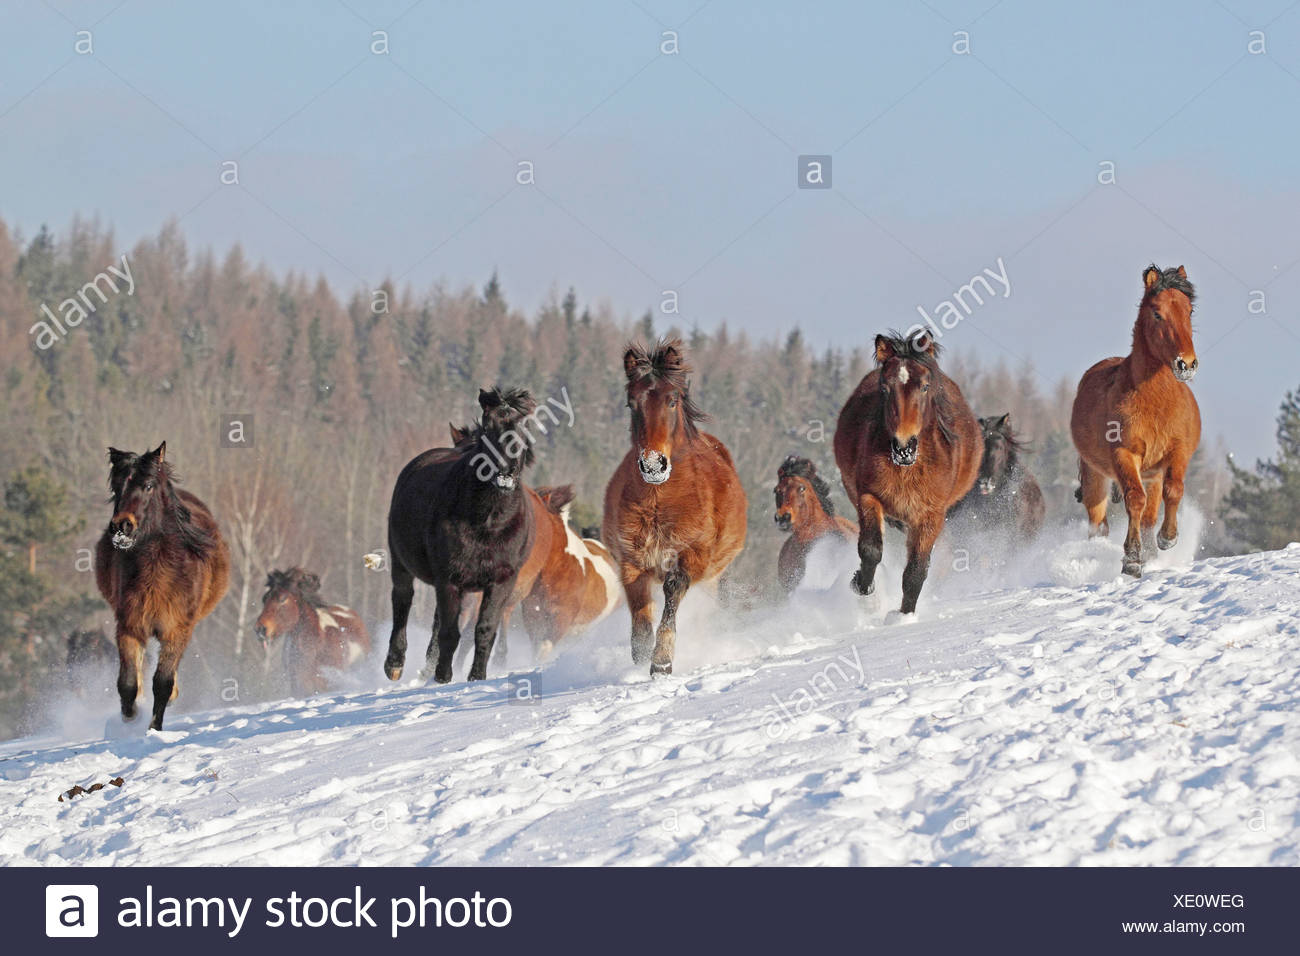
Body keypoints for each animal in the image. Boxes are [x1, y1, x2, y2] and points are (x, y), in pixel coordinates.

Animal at [94, 442, 229, 730]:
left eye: (148, 486)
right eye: (116, 486)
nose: (121, 527)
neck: (157, 568)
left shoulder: (177, 628)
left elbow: (163, 682)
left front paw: (154, 729)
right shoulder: (129, 625)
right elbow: (127, 683)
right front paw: (130, 715)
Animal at [384, 387, 539, 684]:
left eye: (525, 426)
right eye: (488, 425)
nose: (507, 467)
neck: (488, 523)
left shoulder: (500, 581)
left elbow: (484, 628)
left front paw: (476, 676)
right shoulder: (450, 579)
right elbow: (450, 632)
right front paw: (443, 677)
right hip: (402, 564)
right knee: (402, 601)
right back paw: (395, 664)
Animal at [603, 338, 748, 675]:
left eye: (672, 400)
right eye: (632, 403)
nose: (653, 465)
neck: (661, 500)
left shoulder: (693, 556)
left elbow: (673, 590)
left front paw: (662, 660)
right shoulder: (631, 562)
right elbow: (640, 618)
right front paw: (641, 657)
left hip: (711, 577)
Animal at [833, 330, 981, 614]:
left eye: (924, 386)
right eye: (884, 388)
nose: (904, 446)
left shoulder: (931, 515)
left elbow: (915, 572)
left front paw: (904, 617)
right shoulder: (869, 497)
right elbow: (870, 549)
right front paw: (861, 586)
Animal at [1070, 264, 1201, 577]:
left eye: (1189, 310)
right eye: (1157, 313)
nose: (1186, 364)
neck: (1156, 401)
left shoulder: (1178, 451)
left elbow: (1174, 490)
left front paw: (1167, 539)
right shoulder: (1124, 453)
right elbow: (1134, 499)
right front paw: (1131, 559)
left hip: (1152, 473)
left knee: (1150, 513)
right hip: (1095, 475)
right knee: (1099, 523)